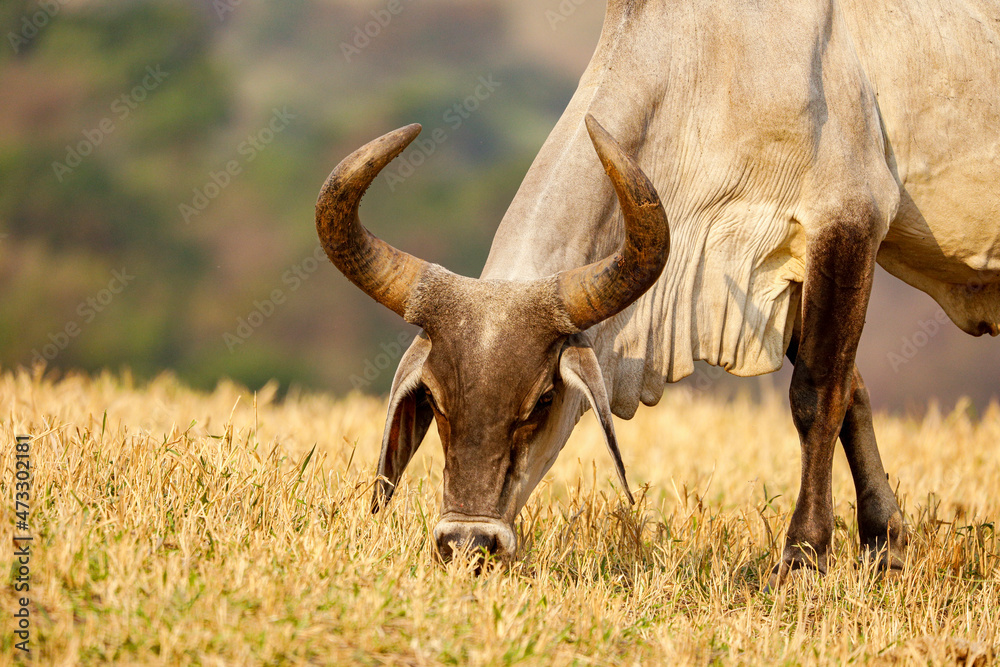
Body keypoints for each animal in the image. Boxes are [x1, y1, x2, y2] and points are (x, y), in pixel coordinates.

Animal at [316, 0, 1000, 587]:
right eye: (433, 400)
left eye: (542, 400)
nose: (467, 544)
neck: (714, 64)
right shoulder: (782, 271)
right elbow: (853, 393)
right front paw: (885, 547)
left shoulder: (848, 220)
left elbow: (818, 395)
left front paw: (802, 559)